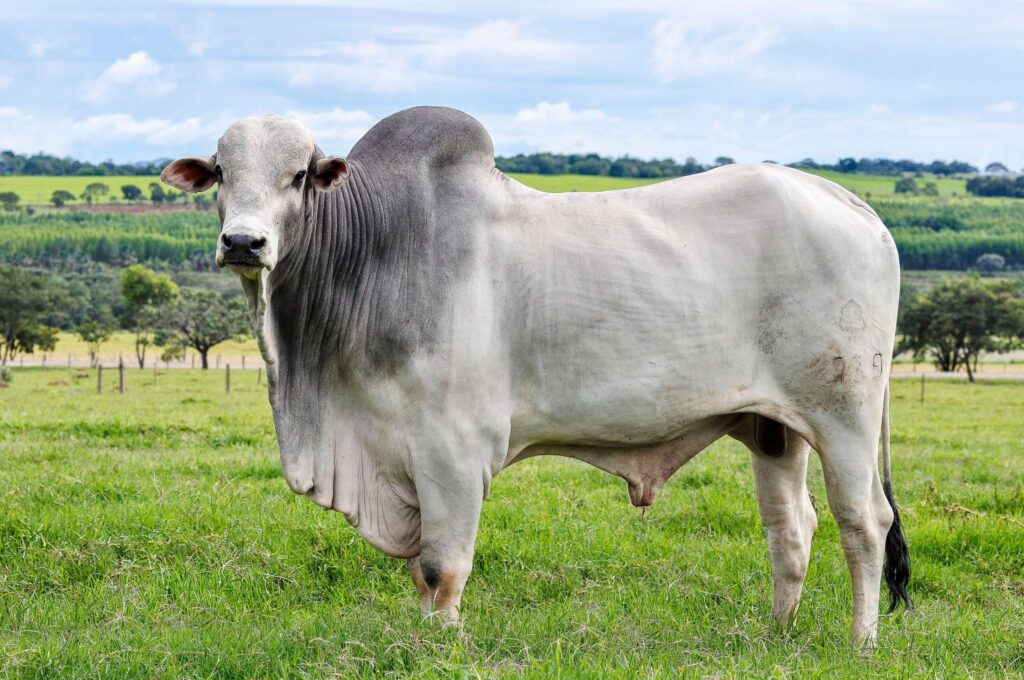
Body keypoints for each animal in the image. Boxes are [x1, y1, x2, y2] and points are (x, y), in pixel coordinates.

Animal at [162, 106, 911, 646]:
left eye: (297, 176)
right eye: (222, 173)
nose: (243, 242)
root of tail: (849, 201)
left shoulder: (453, 451)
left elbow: (441, 566)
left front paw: (441, 646)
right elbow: (419, 573)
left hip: (844, 414)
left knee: (863, 522)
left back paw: (861, 641)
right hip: (773, 429)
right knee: (792, 528)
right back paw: (777, 632)